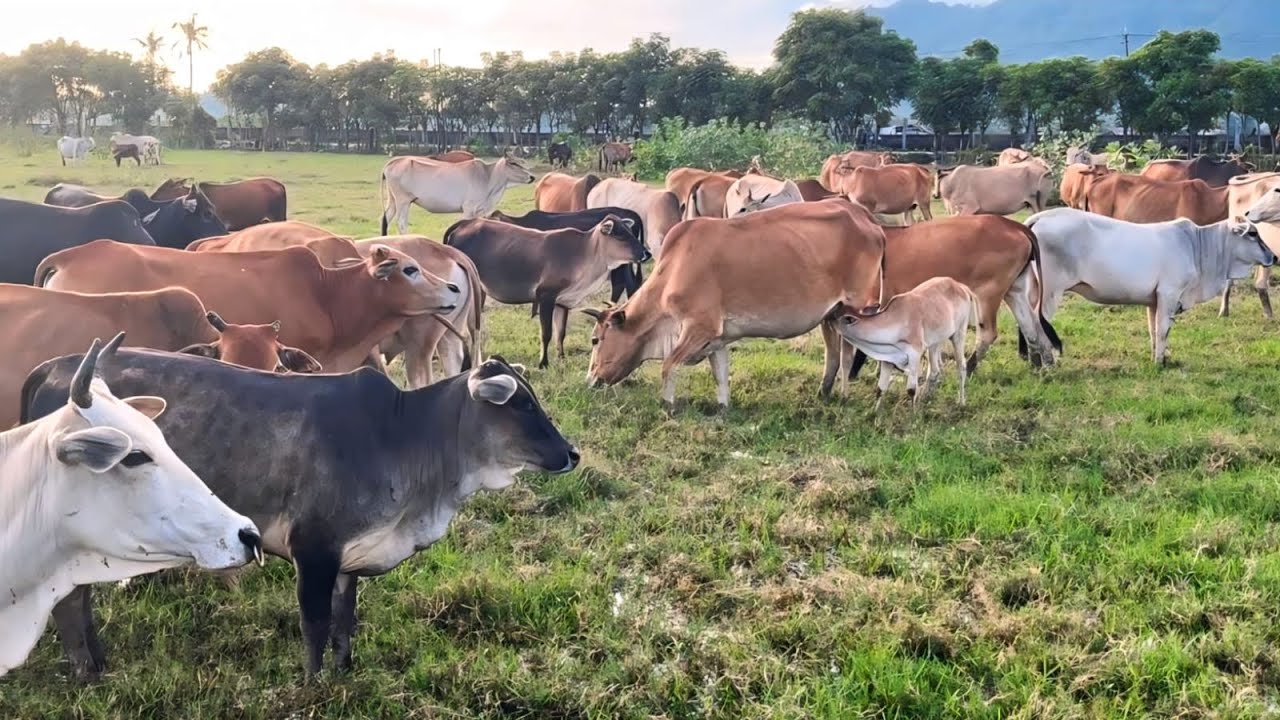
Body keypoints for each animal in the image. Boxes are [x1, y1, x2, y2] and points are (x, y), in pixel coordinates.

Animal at [24, 350, 577, 678]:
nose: (571, 453)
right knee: (68, 602)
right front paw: (316, 683)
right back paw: (87, 672)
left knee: (78, 596)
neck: (404, 437)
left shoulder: (350, 556)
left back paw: (99, 660)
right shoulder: (313, 549)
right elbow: (315, 623)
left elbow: (344, 620)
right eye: (522, 405)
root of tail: (54, 366)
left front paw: (345, 671)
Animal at [380, 155, 535, 234]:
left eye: (522, 162)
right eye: (514, 163)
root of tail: (392, 162)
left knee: (386, 218)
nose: (532, 177)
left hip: (393, 199)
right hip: (403, 201)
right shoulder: (469, 208)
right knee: (401, 223)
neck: (488, 176)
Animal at [583, 200, 886, 407]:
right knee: (833, 354)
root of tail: (862, 214)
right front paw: (722, 408)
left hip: (856, 310)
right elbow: (720, 373)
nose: (590, 380)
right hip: (830, 314)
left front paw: (667, 405)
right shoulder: (716, 338)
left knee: (851, 354)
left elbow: (668, 366)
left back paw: (848, 394)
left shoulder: (698, 328)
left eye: (595, 339)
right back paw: (823, 393)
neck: (673, 271)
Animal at [831, 277, 978, 410]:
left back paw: (961, 402)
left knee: (961, 367)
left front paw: (913, 414)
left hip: (959, 334)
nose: (828, 319)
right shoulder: (888, 359)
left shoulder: (914, 355)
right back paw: (927, 396)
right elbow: (880, 389)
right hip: (934, 342)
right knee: (935, 370)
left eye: (838, 316)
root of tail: (961, 286)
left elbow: (911, 390)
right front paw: (874, 412)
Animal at [1024, 208, 1276, 364]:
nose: (1274, 257)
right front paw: (1159, 362)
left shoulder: (1153, 300)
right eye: (1253, 233)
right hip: (1051, 292)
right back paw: (1048, 362)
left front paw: (1158, 357)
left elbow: (1153, 330)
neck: (1198, 246)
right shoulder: (1169, 293)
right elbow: (1163, 329)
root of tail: (1040, 218)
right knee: (1038, 321)